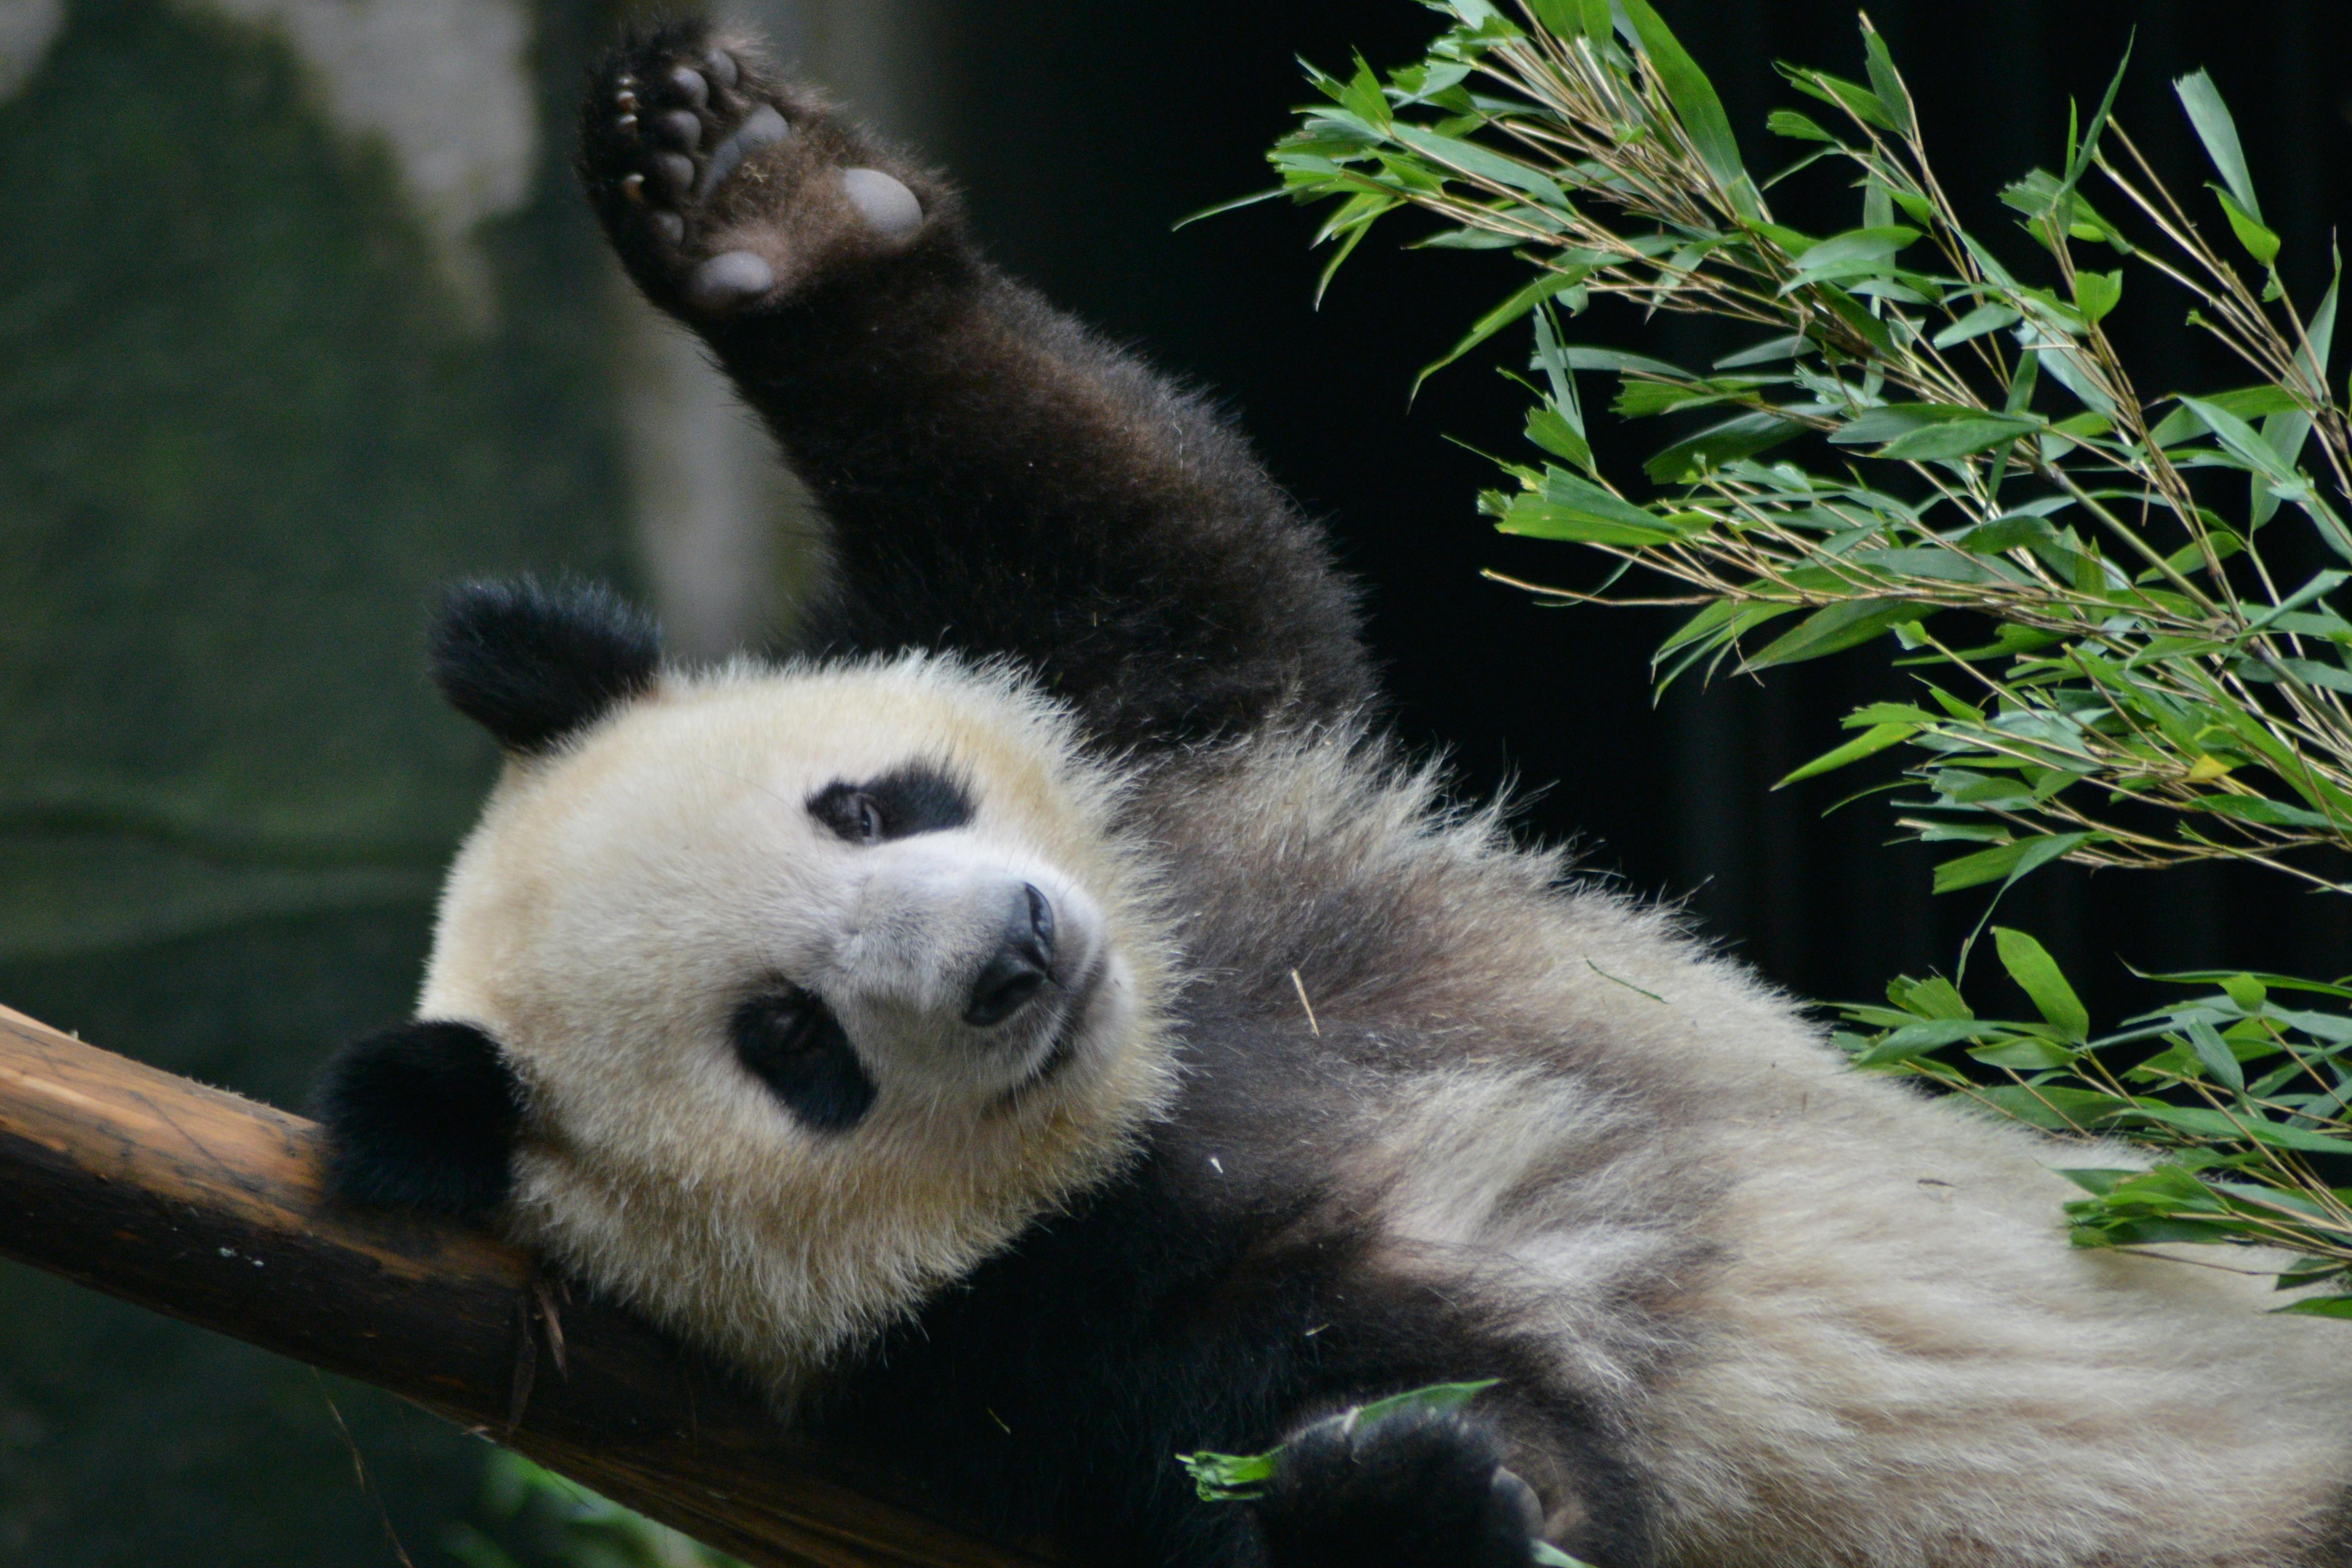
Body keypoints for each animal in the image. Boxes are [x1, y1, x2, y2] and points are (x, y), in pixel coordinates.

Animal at [315, 18, 2352, 1568]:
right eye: (789, 1043)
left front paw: (743, 186)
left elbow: (1164, 546)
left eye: (867, 807)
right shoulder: (1024, 1352)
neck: (1168, 1060)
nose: (1012, 956)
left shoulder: (1192, 776)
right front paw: (1420, 1495)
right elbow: (1414, 1425)